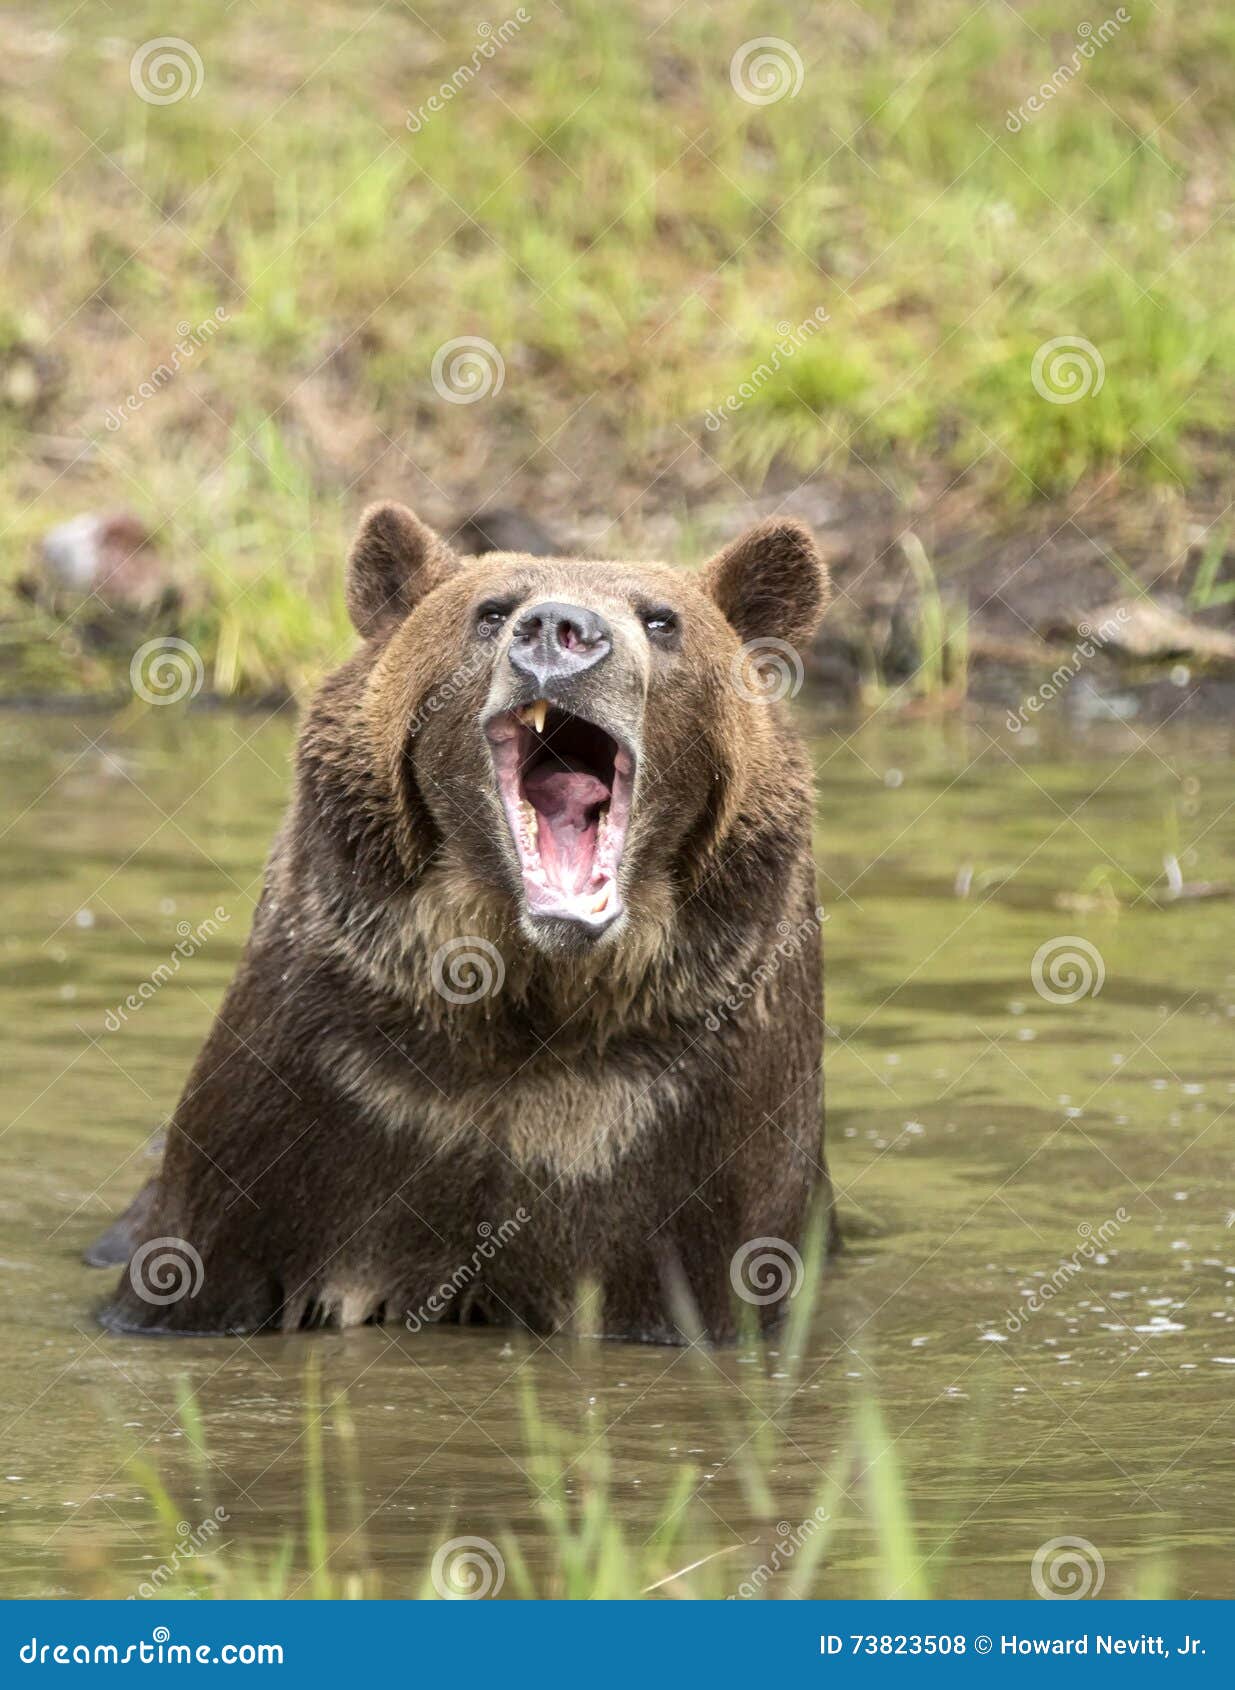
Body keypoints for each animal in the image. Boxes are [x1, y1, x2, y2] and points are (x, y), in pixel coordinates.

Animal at [88, 502, 834, 1343]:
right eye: (493, 611)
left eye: (661, 618)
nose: (561, 630)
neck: (524, 997)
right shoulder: (319, 1093)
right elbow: (199, 1265)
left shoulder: (684, 1125)